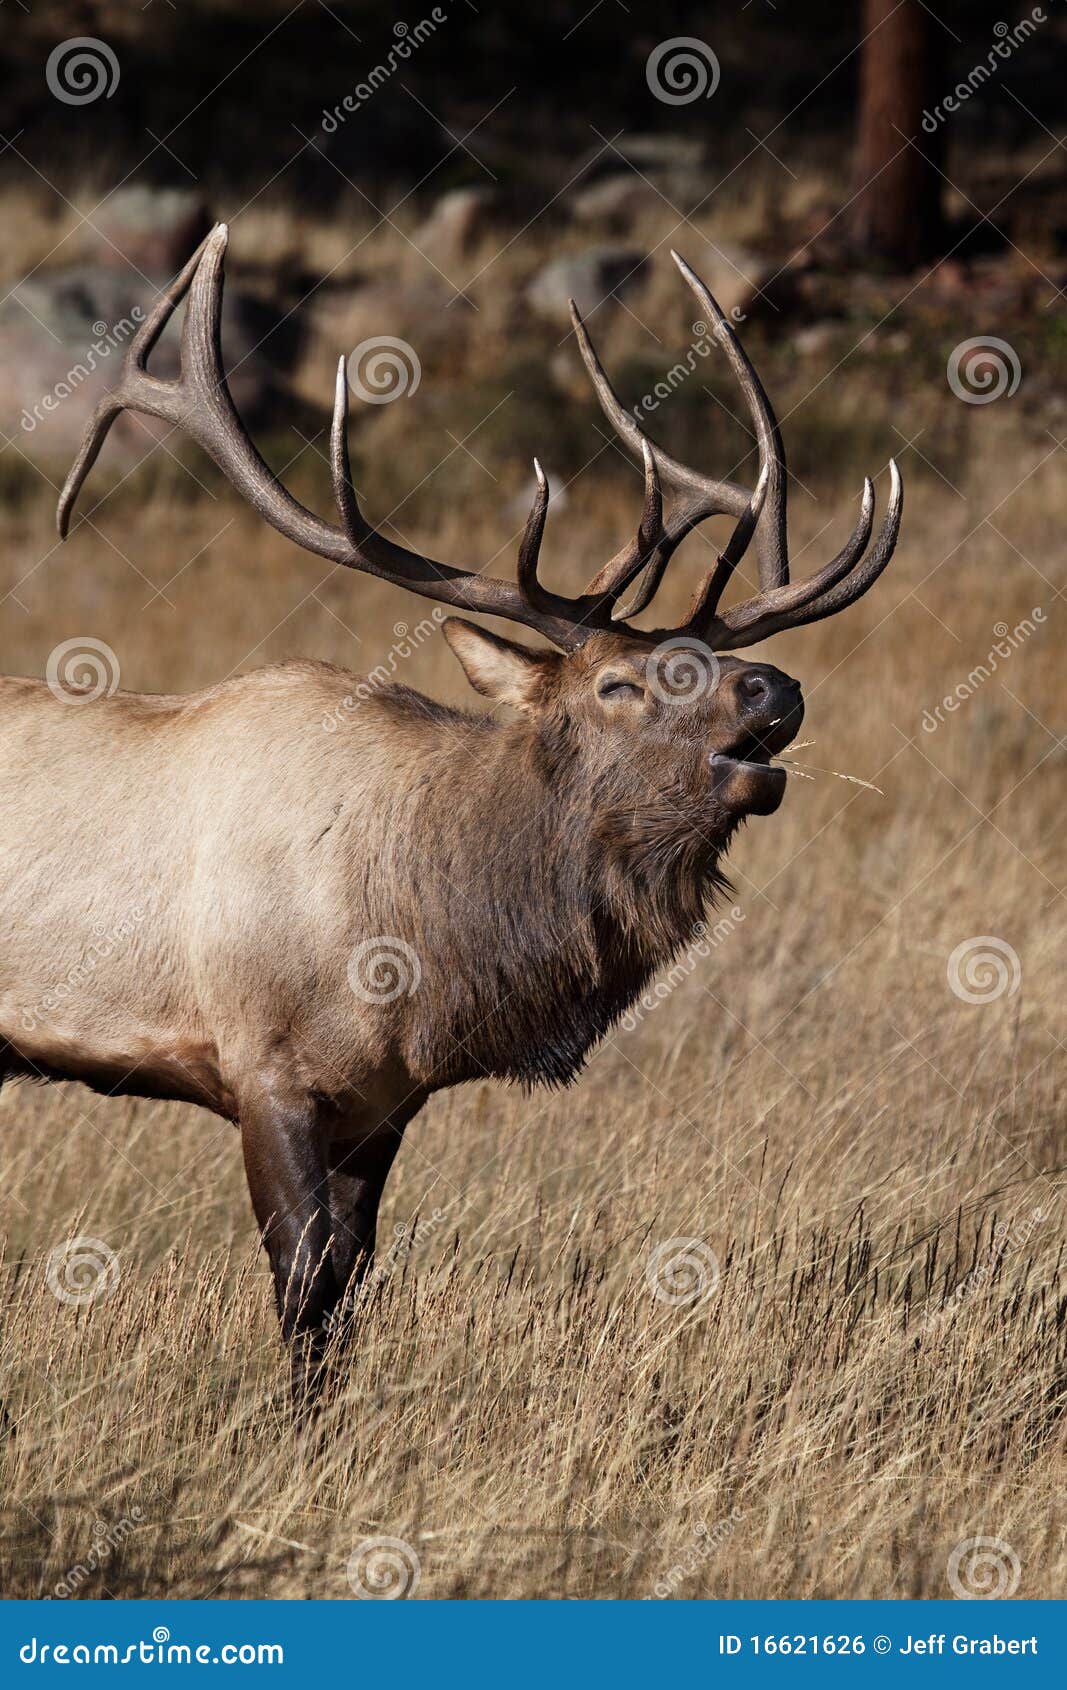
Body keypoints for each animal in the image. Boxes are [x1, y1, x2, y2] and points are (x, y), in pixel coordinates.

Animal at [0, 226, 901, 1402]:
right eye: (616, 683)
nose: (776, 689)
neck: (417, 936)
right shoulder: (262, 1063)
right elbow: (302, 1285)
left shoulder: (382, 1102)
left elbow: (348, 1286)